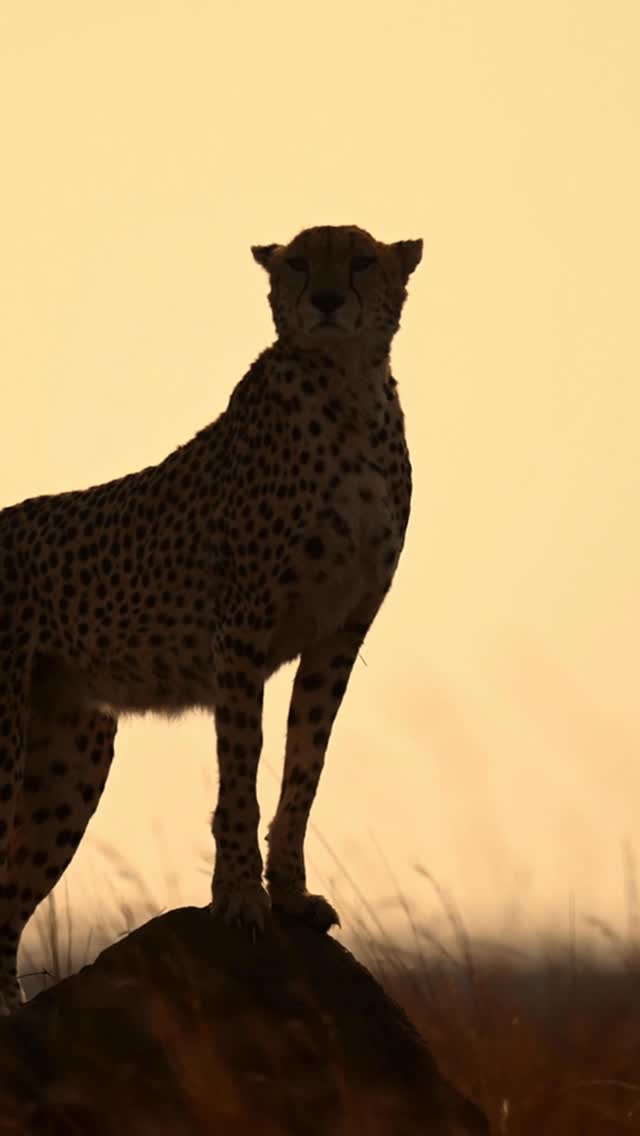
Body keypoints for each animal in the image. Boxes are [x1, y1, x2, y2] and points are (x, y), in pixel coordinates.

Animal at [0, 224, 422, 1013]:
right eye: (298, 263)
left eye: (358, 261)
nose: (326, 300)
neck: (348, 390)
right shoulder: (242, 630)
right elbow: (241, 767)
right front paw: (240, 898)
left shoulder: (341, 631)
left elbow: (304, 763)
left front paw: (291, 896)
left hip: (71, 753)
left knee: (8, 896)